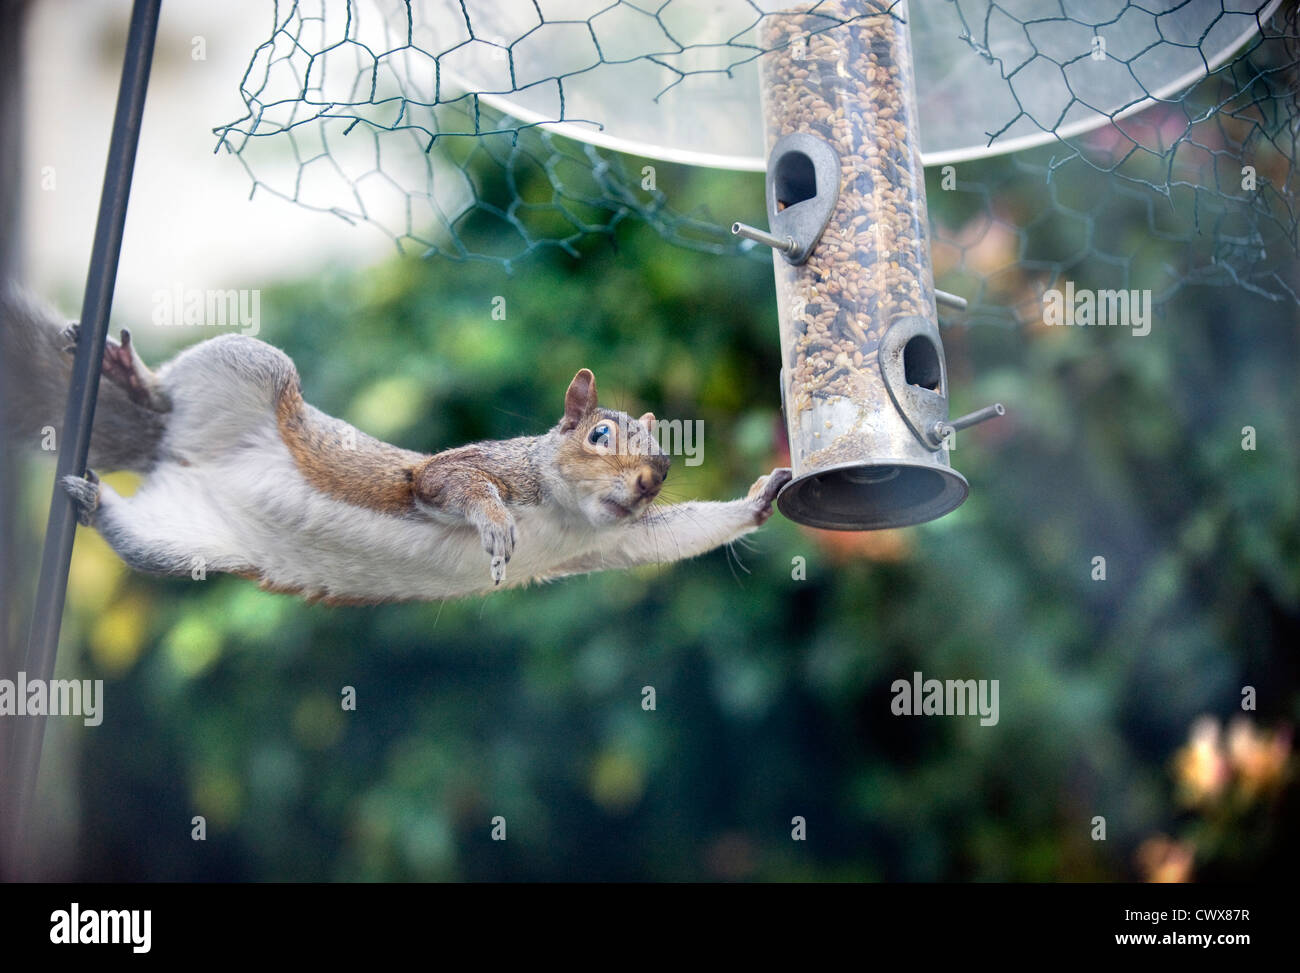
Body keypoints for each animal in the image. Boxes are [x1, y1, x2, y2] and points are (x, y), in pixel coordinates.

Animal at [1, 285, 792, 604]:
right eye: (600, 433)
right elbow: (445, 482)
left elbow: (668, 538)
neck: (567, 514)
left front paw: (762, 496)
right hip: (249, 369)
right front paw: (494, 525)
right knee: (168, 396)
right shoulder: (469, 470)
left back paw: (96, 502)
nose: (650, 480)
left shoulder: (611, 542)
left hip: (179, 539)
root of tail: (171, 454)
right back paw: (130, 376)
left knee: (135, 528)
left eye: (665, 458)